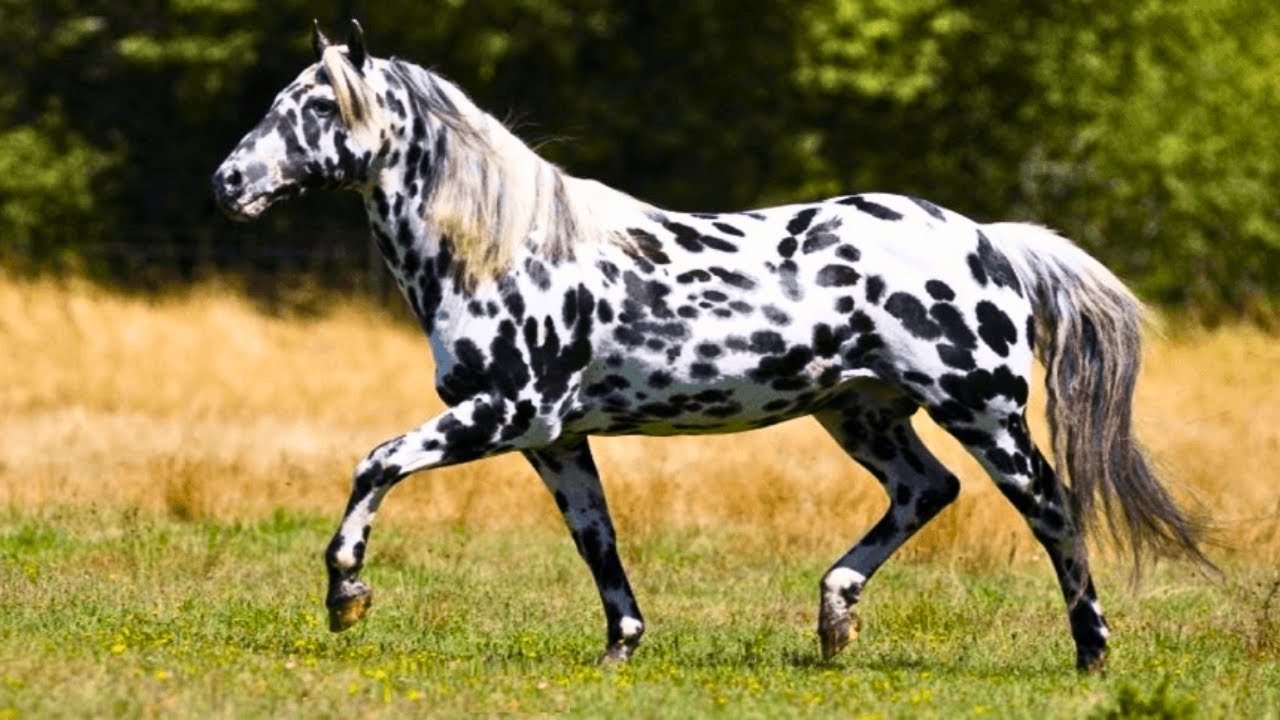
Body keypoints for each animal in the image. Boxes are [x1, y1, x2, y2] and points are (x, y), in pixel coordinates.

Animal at [211, 21, 1209, 670]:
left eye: (316, 106)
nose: (227, 181)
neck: (505, 249)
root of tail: (988, 240)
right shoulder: (554, 439)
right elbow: (596, 537)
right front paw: (621, 649)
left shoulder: (507, 413)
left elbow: (376, 462)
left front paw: (346, 598)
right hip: (862, 414)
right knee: (927, 491)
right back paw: (835, 619)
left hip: (983, 412)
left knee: (1052, 510)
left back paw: (1092, 656)